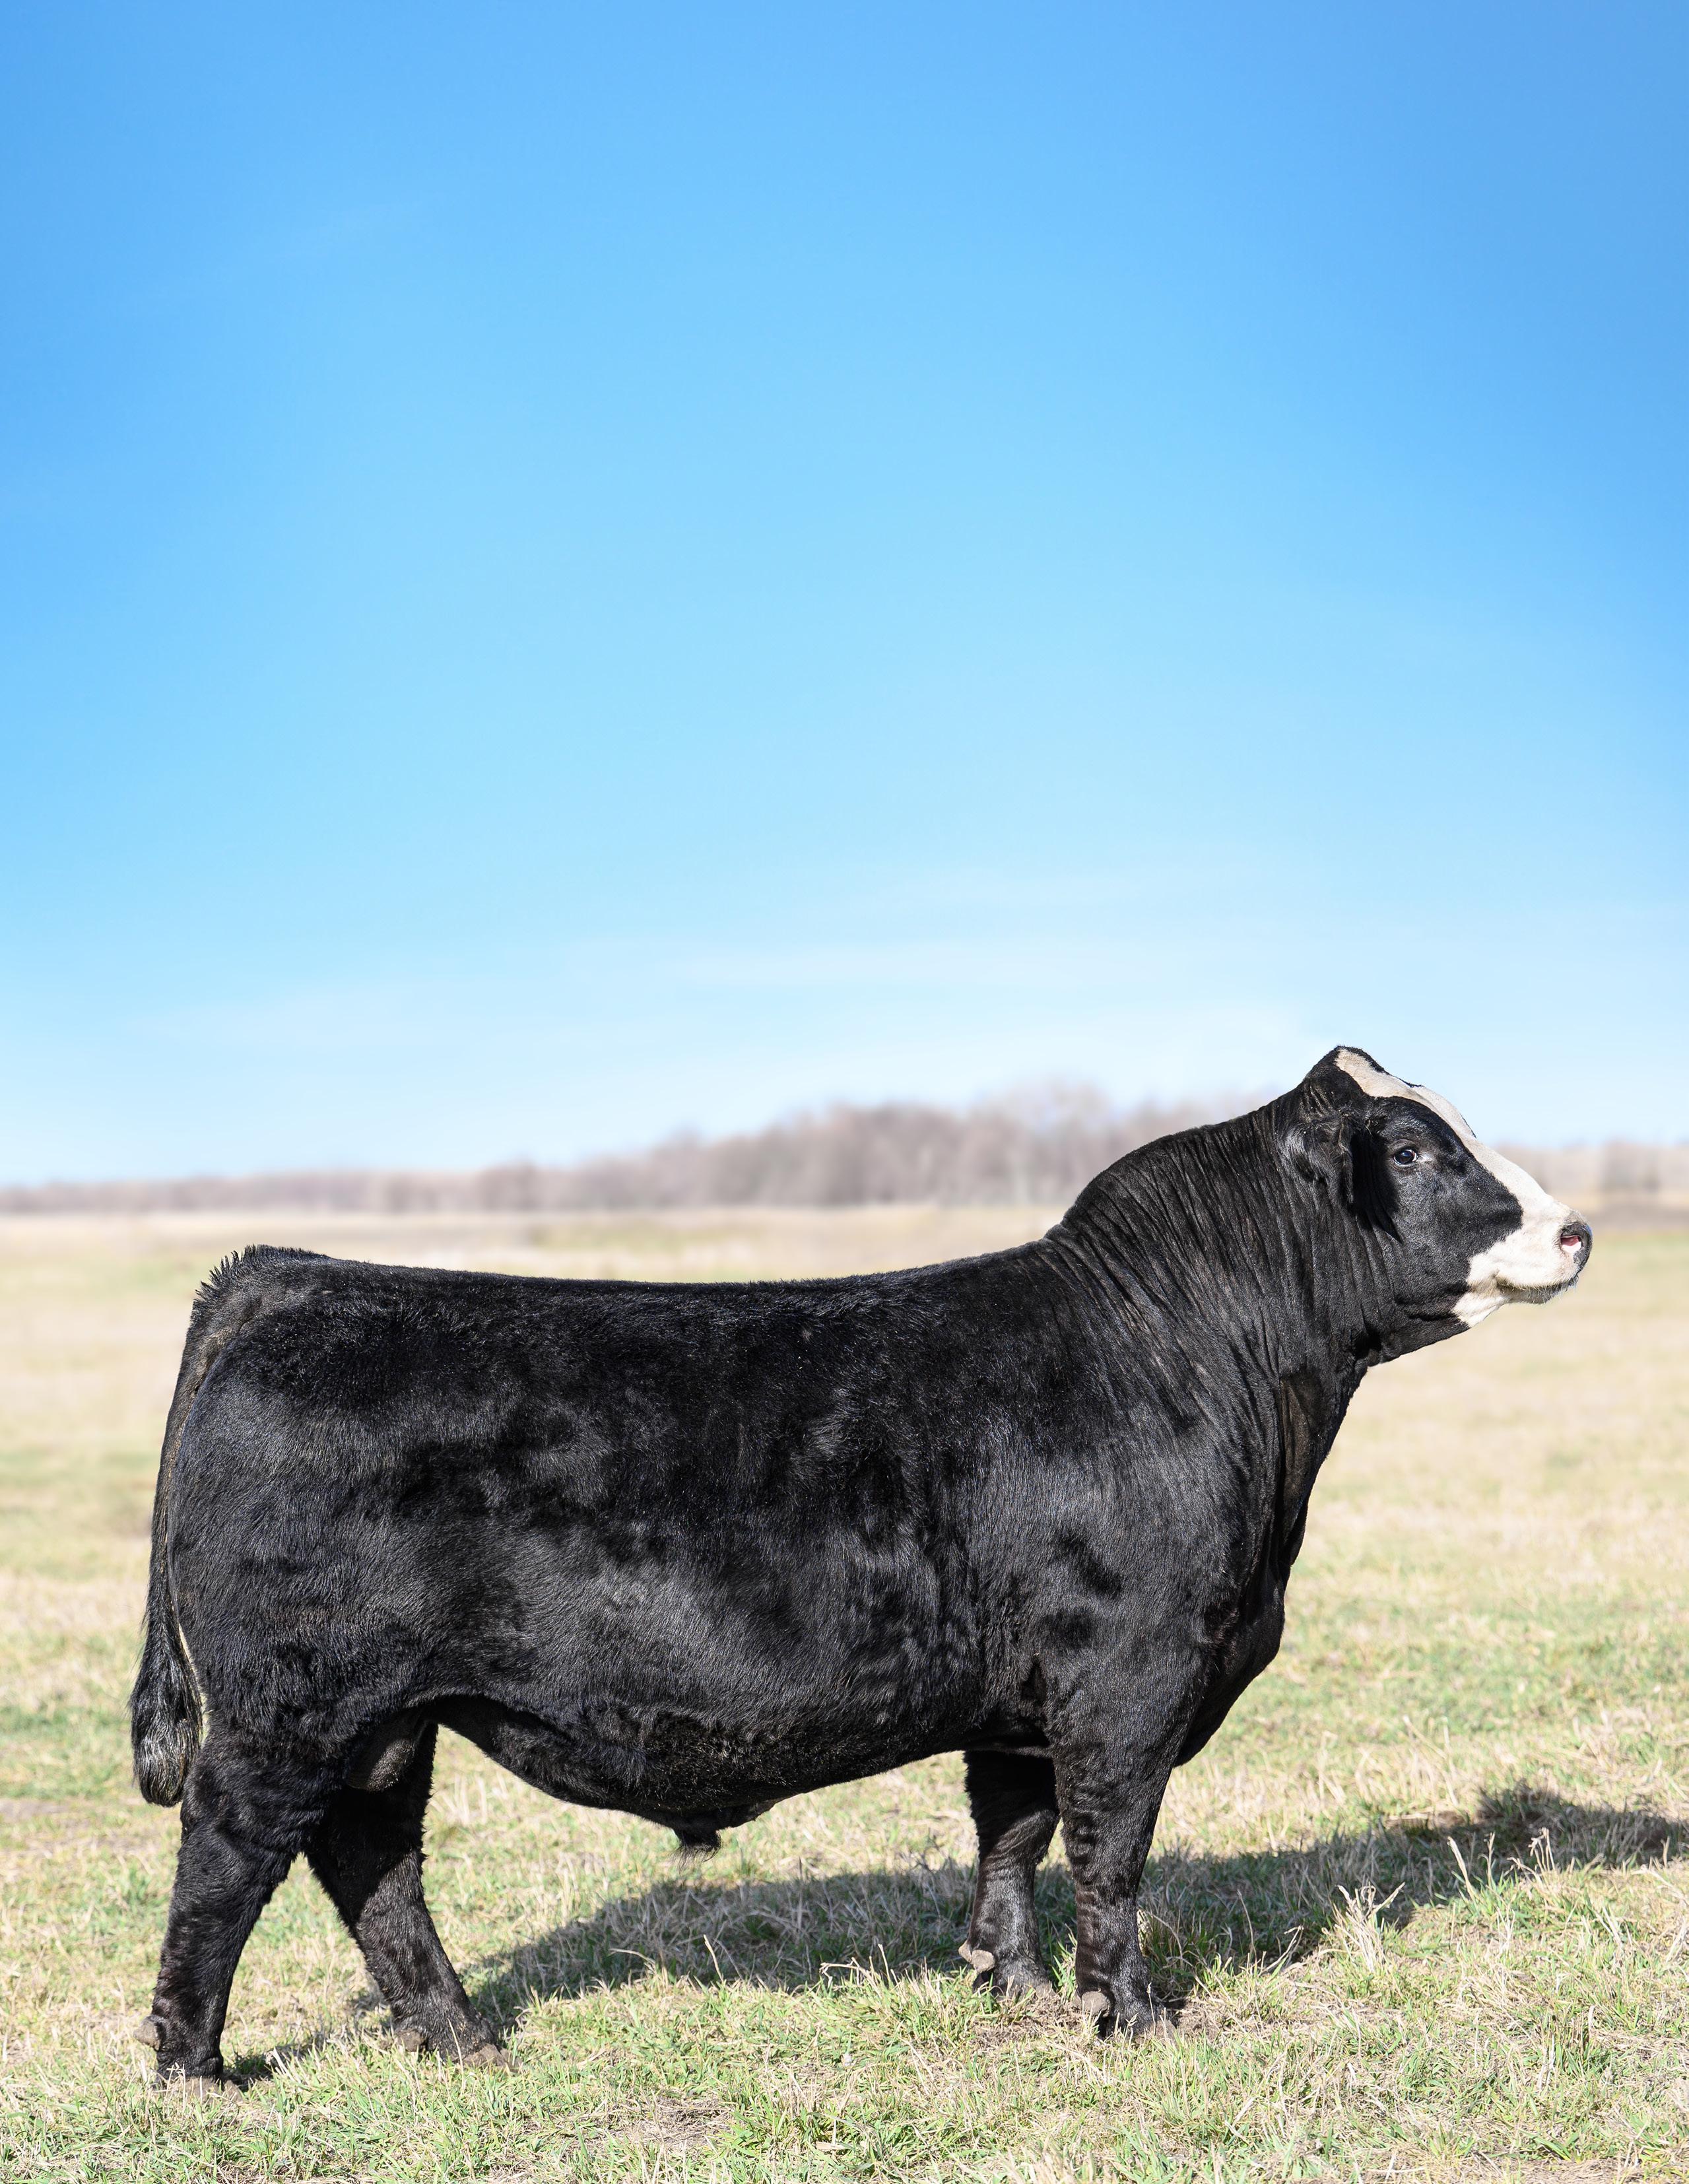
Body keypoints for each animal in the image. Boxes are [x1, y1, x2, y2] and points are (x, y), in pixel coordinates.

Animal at [128, 1049, 1590, 2086]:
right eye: (1410, 1145)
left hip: (383, 1717)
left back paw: (461, 2034)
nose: (1574, 1227)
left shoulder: (1023, 1695)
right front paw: (1130, 2014)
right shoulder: (1130, 1674)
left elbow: (1013, 1832)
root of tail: (280, 1276)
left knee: (370, 1857)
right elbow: (1111, 1849)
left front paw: (1009, 1985)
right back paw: (196, 2067)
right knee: (229, 1853)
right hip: (290, 1703)